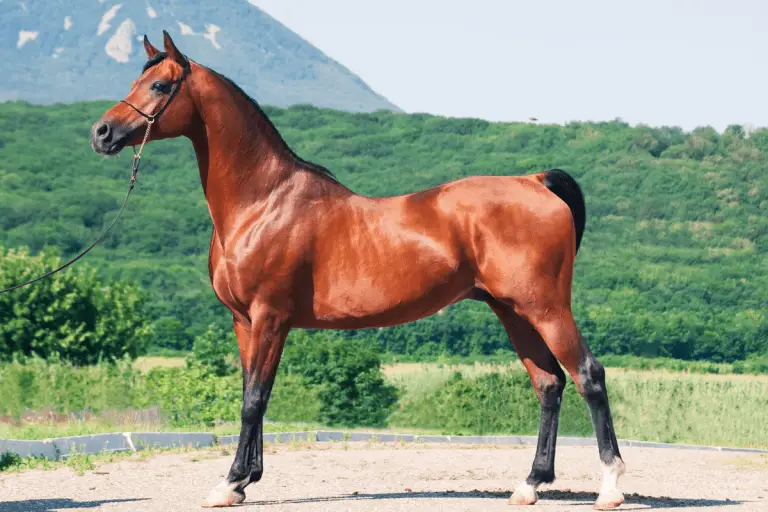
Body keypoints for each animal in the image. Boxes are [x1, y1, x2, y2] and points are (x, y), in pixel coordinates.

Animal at [91, 31, 626, 509]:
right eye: (137, 79)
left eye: (160, 85)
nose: (101, 133)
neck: (263, 201)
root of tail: (535, 182)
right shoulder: (244, 321)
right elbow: (252, 395)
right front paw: (245, 480)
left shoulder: (269, 318)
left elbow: (254, 400)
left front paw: (229, 484)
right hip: (512, 311)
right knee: (549, 384)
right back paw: (530, 484)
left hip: (546, 308)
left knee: (588, 375)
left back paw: (610, 488)